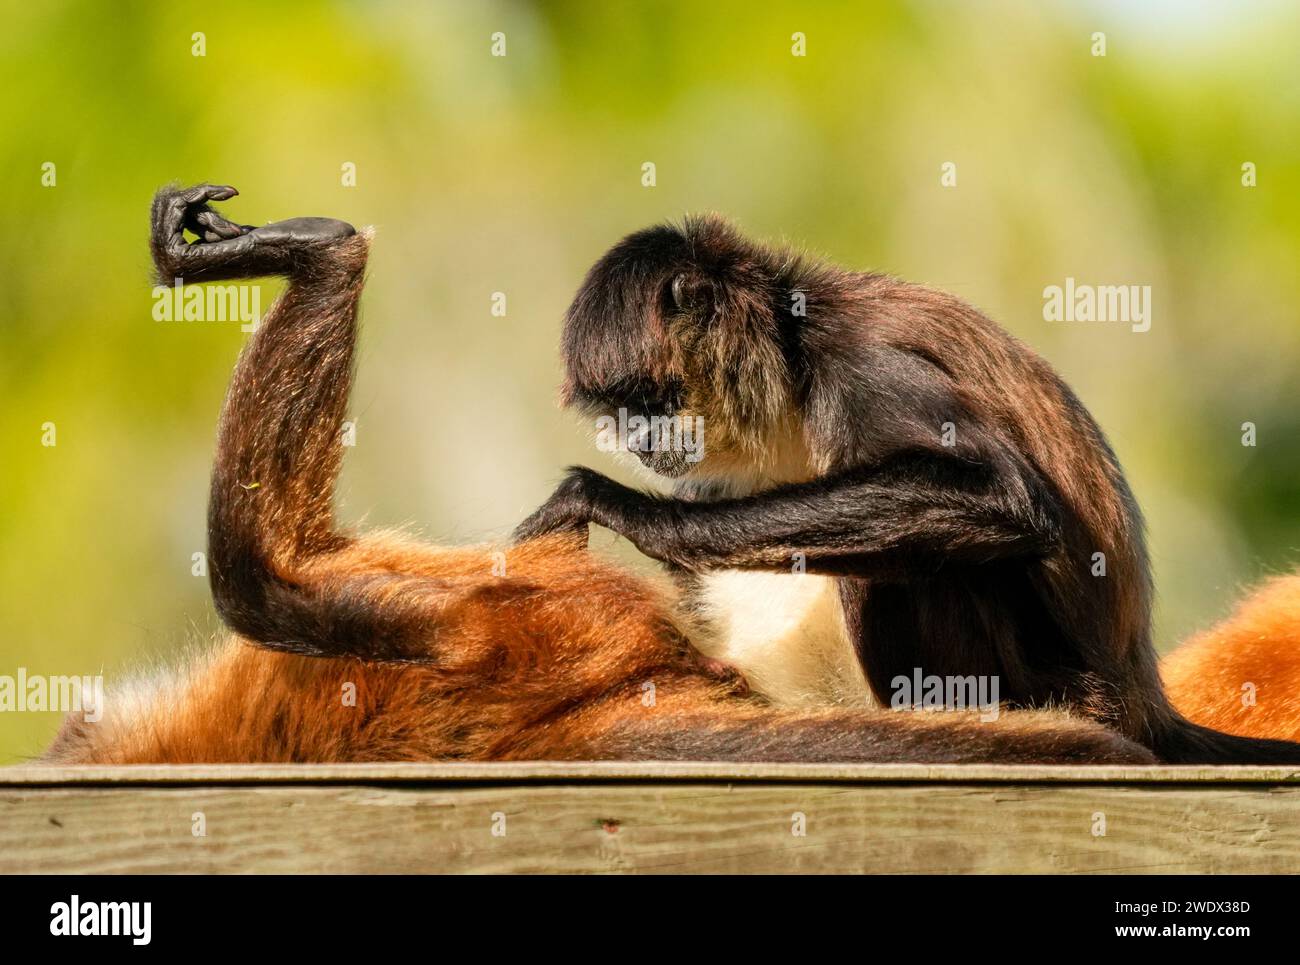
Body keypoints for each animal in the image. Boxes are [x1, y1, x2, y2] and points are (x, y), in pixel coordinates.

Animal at [513, 214, 1300, 765]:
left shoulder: (858, 364)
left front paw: (618, 505)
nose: (641, 441)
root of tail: (1141, 702)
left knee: (905, 565)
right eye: (620, 411)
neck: (793, 359)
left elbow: (996, 497)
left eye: (653, 399)